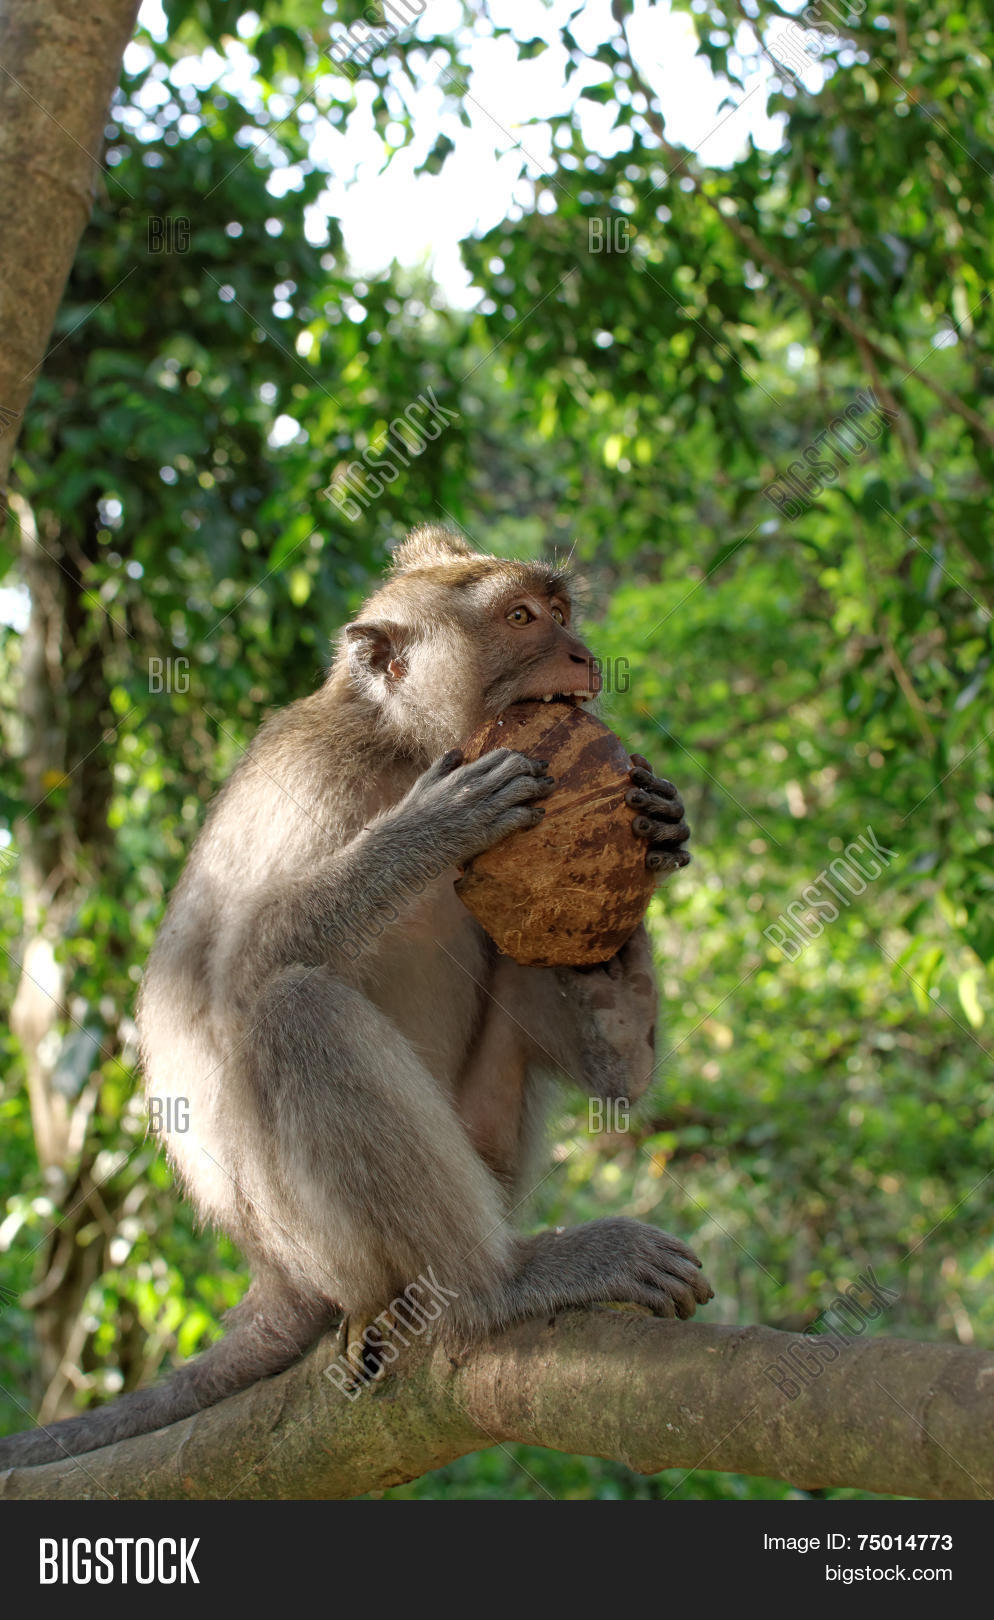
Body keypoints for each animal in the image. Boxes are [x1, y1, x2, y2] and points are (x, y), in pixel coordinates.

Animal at [0, 524, 709, 1469]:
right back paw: (495, 1285)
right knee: (292, 1010)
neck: (402, 746)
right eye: (521, 618)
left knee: (568, 1044)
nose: (584, 655)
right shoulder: (317, 779)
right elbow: (234, 972)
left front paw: (654, 835)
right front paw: (429, 827)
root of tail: (273, 1278)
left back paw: (618, 1028)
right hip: (315, 1240)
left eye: (561, 611)